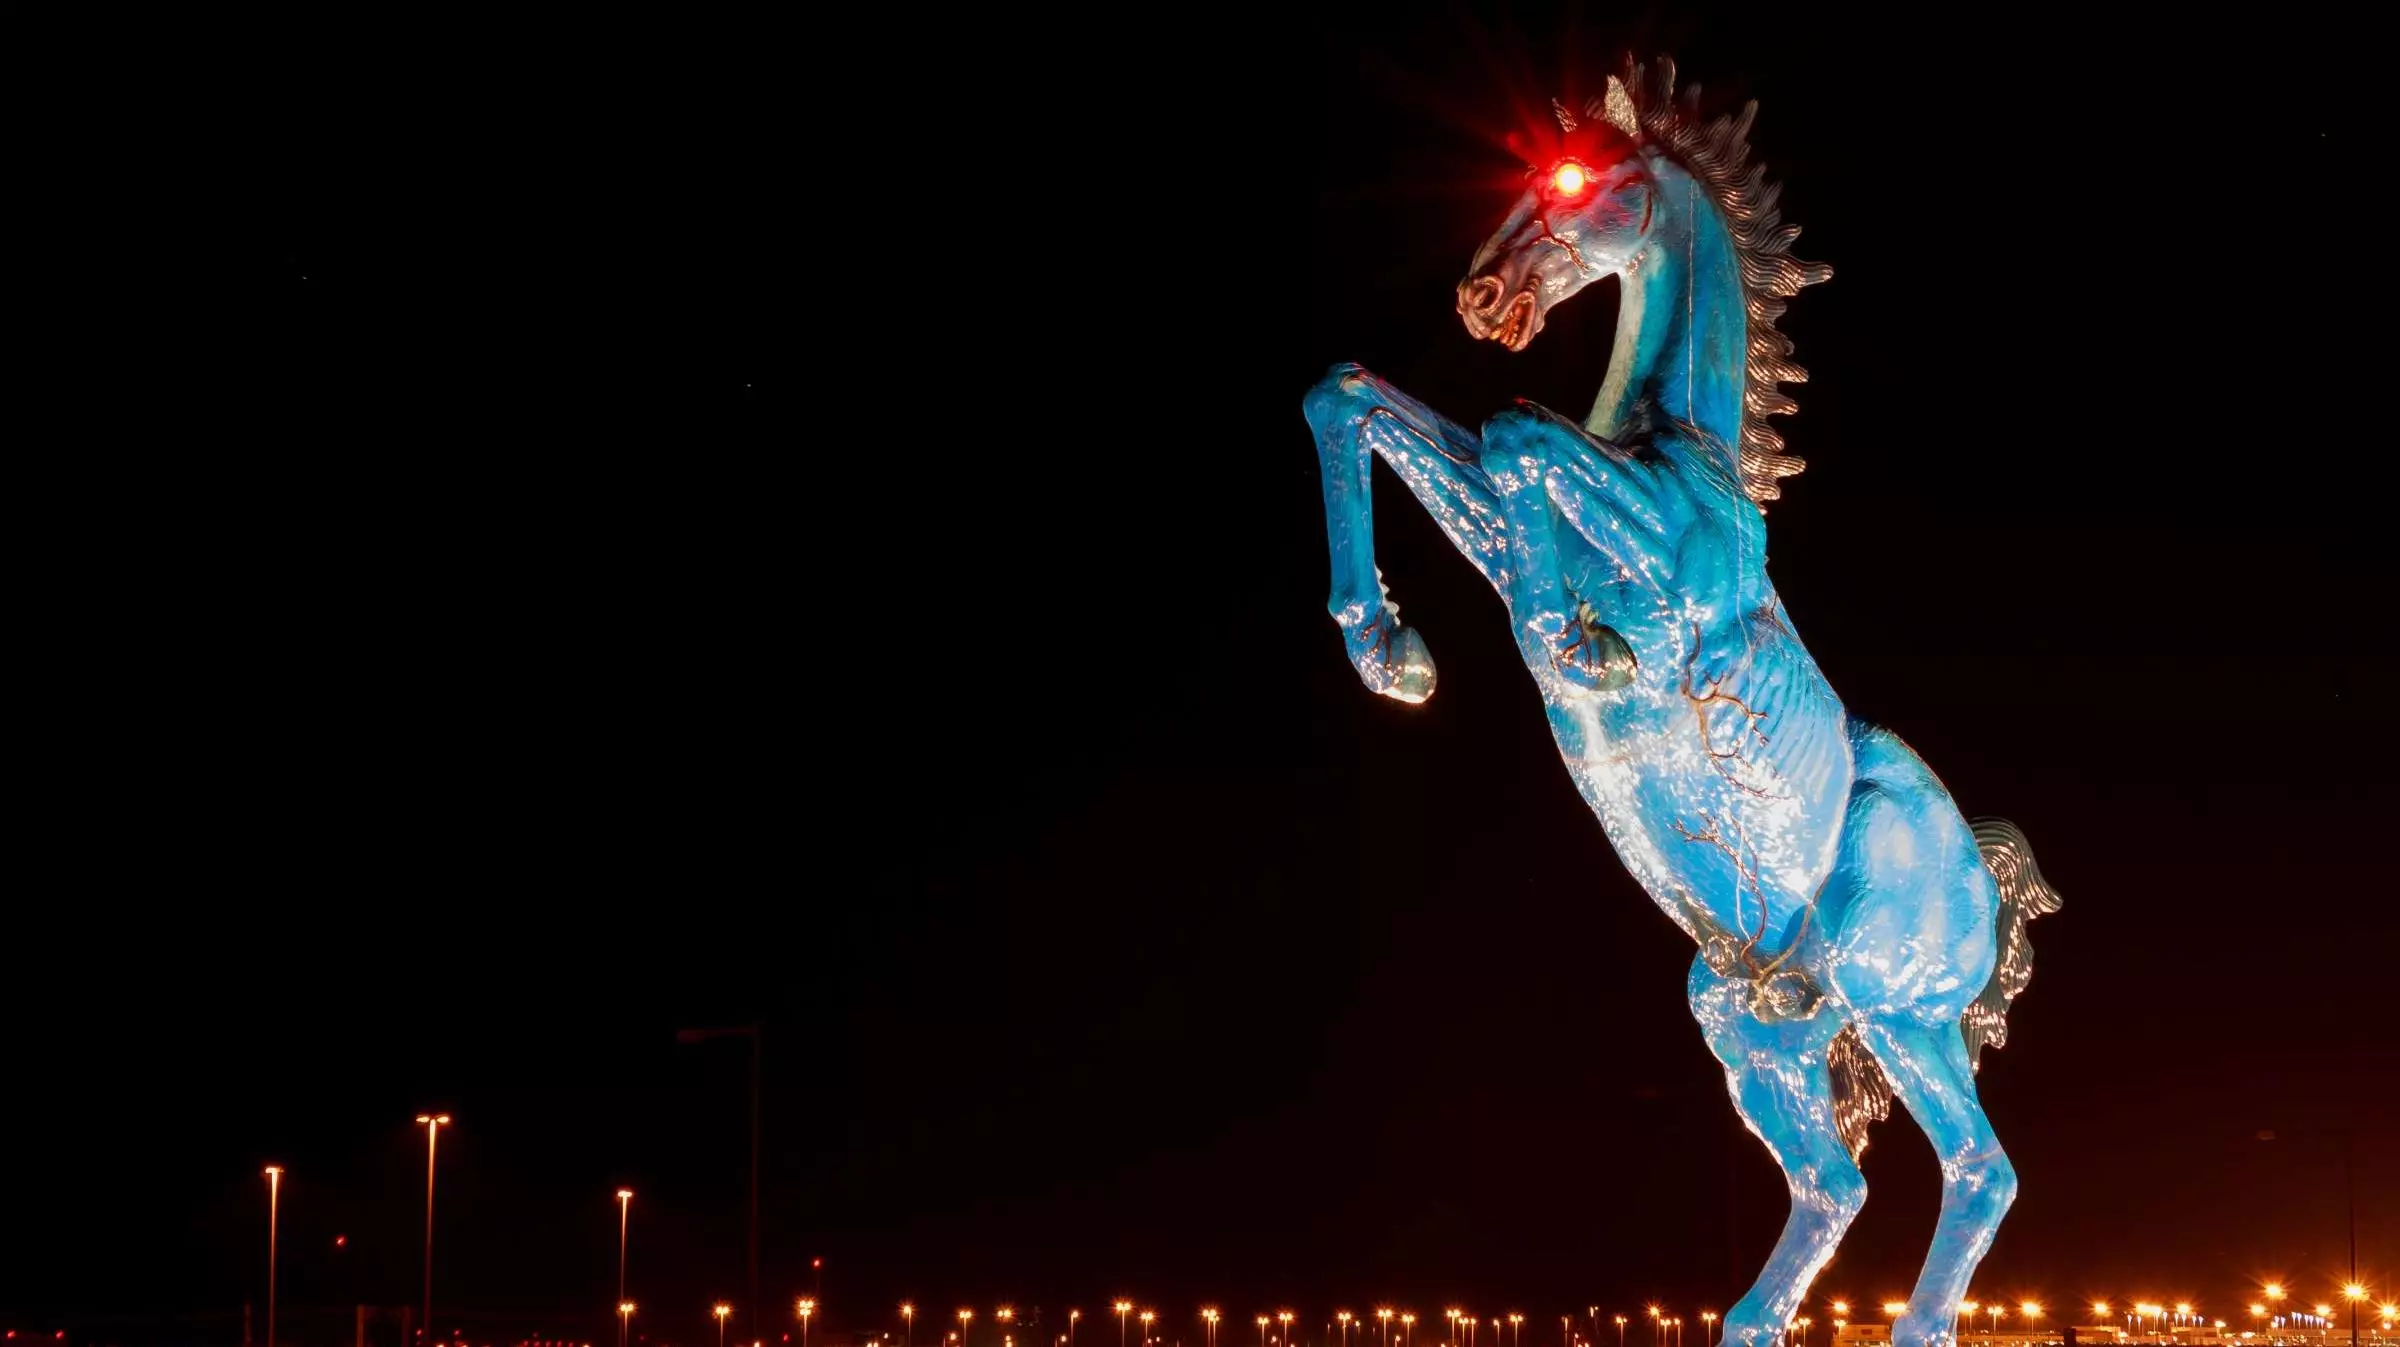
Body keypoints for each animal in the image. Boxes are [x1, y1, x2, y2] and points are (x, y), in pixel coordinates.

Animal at [1305, 57, 2054, 1334]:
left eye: (1572, 179)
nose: (1484, 295)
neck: (1677, 446)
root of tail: (1989, 875)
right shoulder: (1502, 530)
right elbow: (1365, 402)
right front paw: (1392, 655)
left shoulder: (1657, 570)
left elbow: (1515, 432)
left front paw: (1581, 651)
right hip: (1756, 1019)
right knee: (1836, 1184)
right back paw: (1752, 1322)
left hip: (1897, 1010)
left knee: (1979, 1170)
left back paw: (1916, 1325)